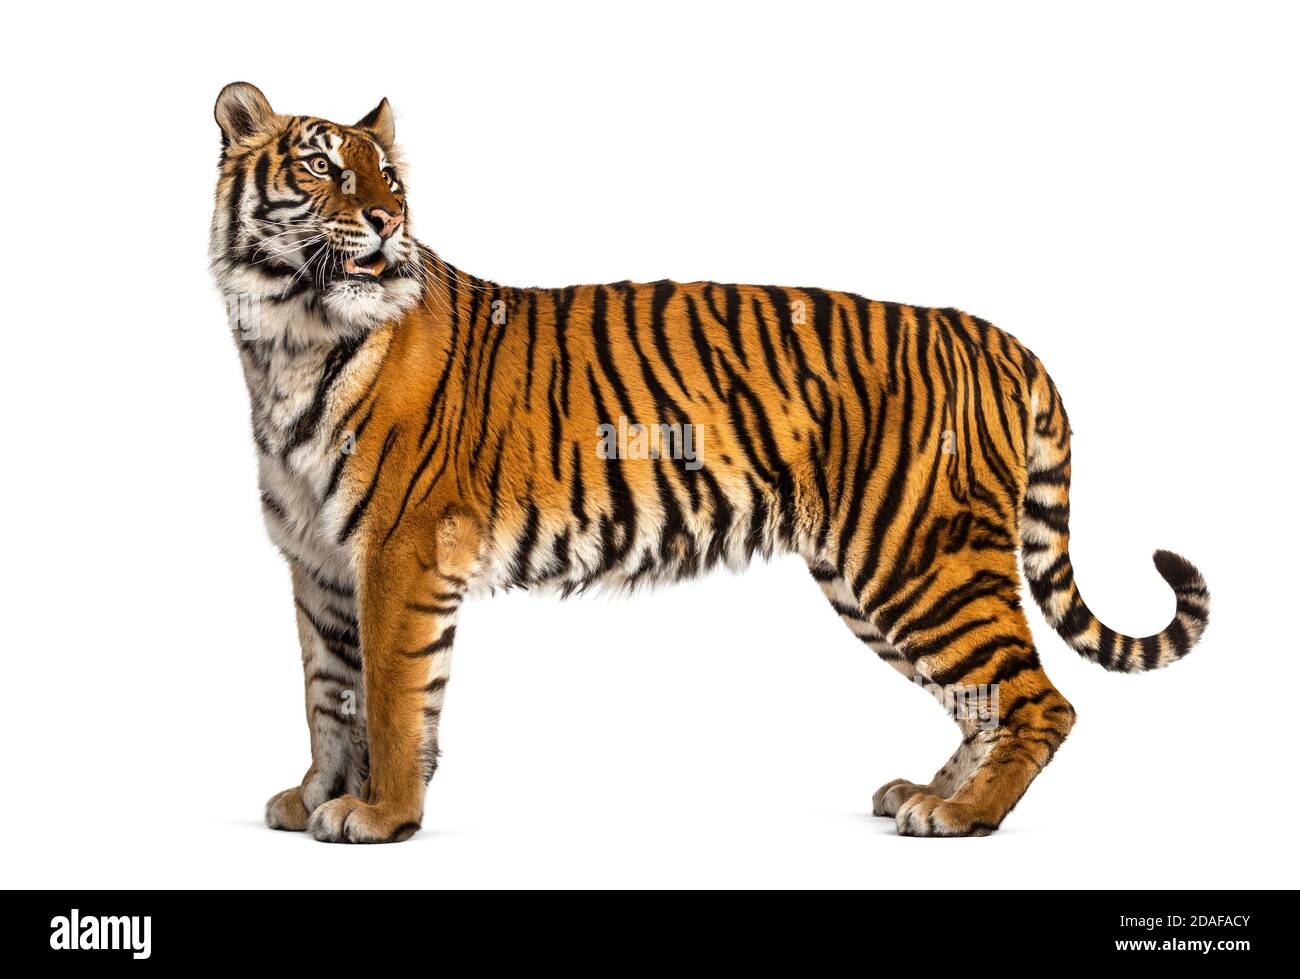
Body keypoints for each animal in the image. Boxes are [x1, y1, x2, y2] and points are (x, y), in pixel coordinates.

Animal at [210, 82, 1210, 843]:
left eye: (388, 178)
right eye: (323, 167)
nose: (385, 220)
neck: (287, 337)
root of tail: (997, 336)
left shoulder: (401, 553)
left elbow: (389, 691)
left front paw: (379, 814)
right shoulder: (318, 561)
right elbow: (327, 691)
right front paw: (312, 797)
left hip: (921, 555)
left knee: (1038, 697)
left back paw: (965, 816)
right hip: (874, 571)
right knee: (981, 694)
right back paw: (929, 793)